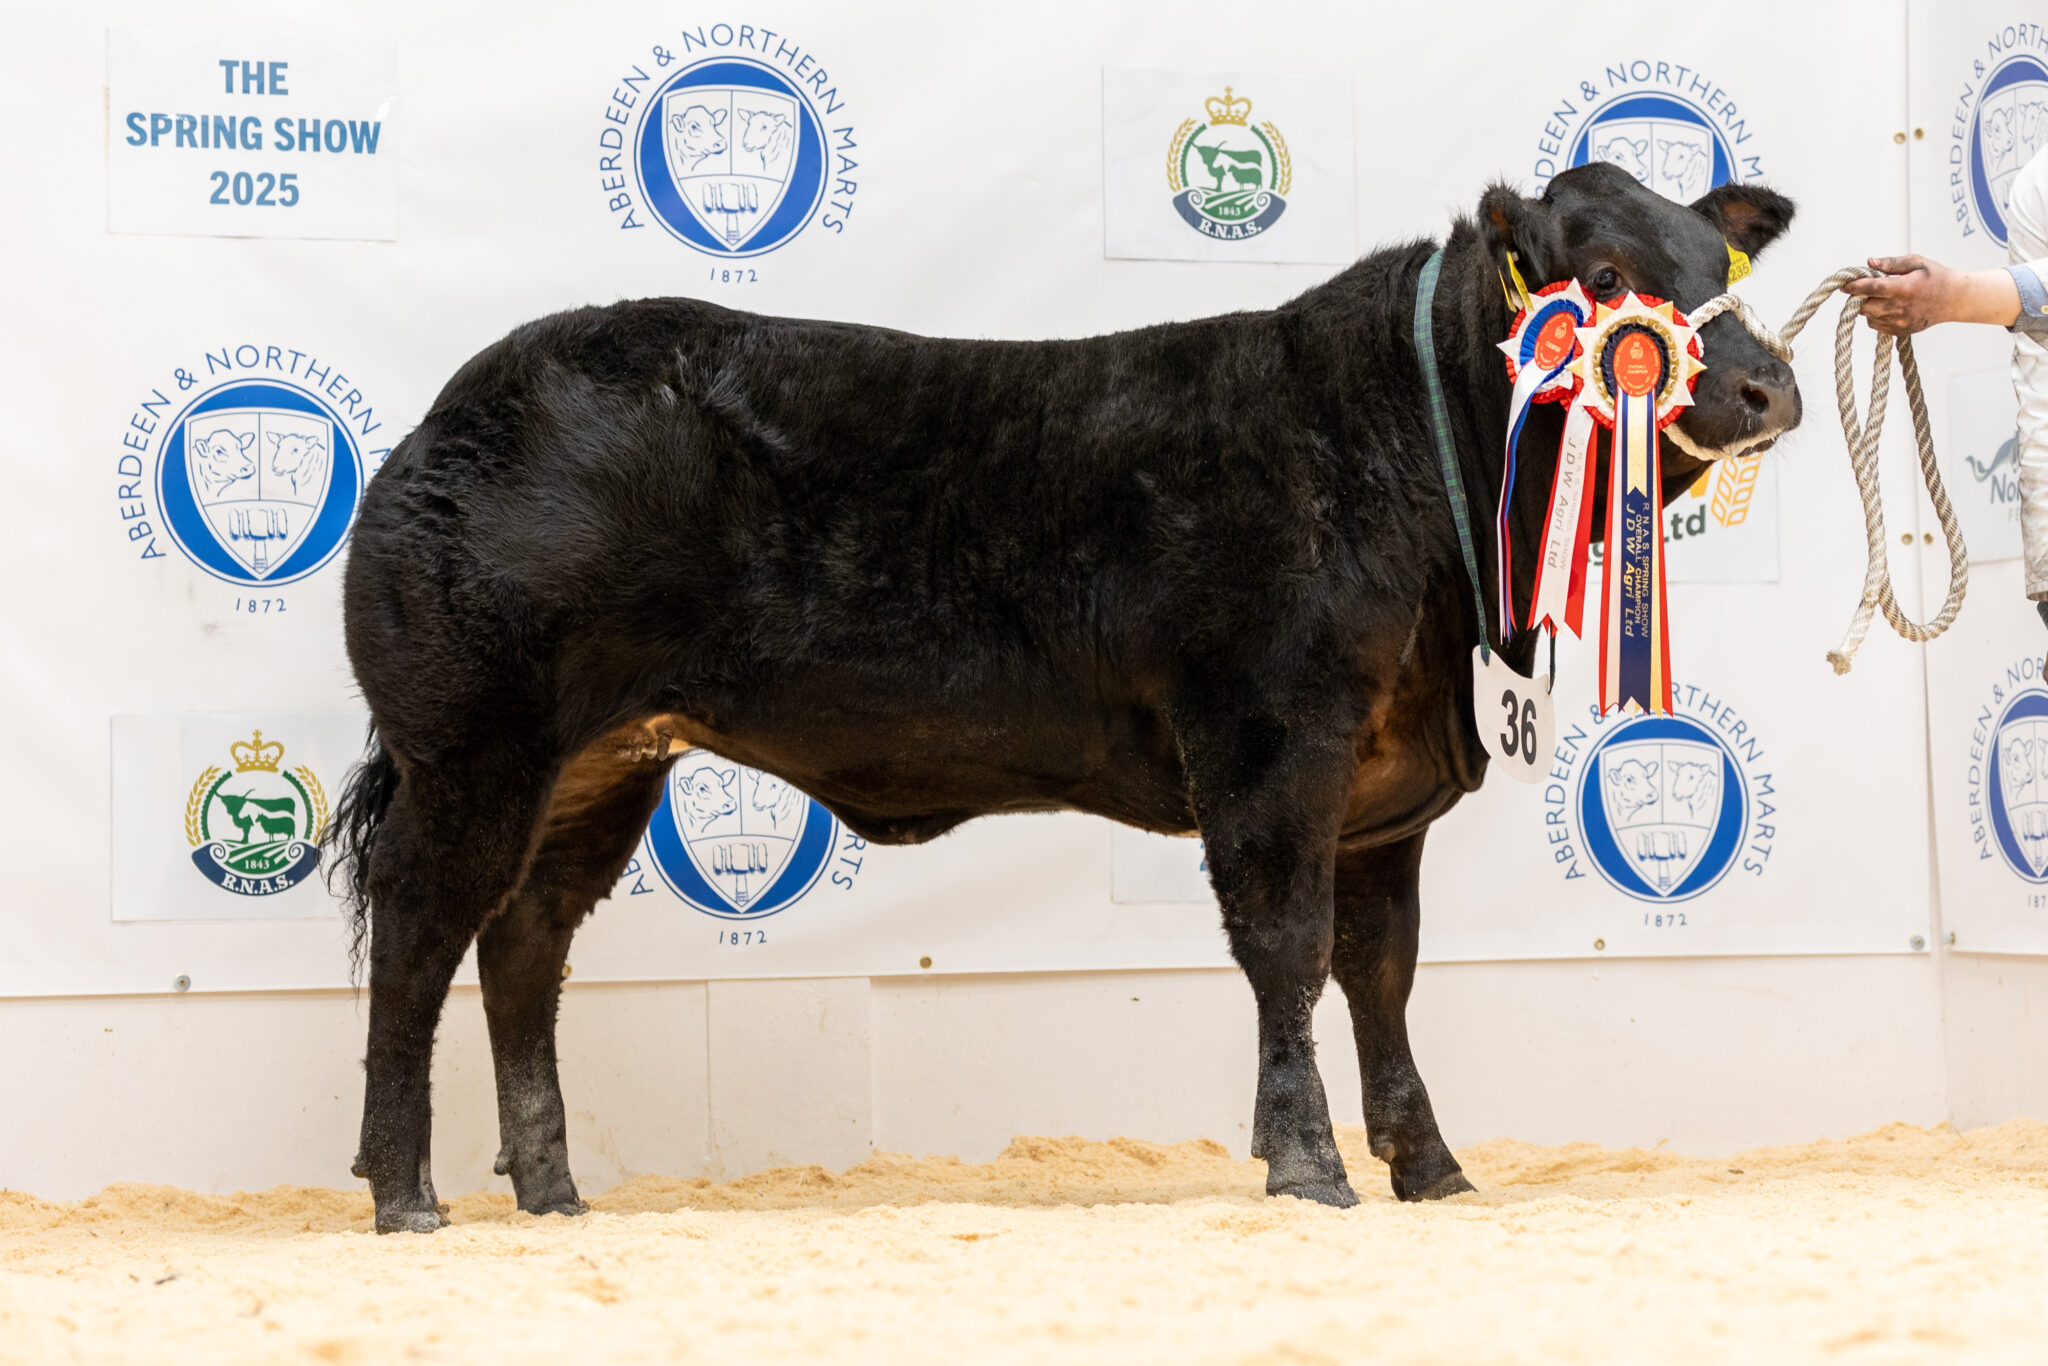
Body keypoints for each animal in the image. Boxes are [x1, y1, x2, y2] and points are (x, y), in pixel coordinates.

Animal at [328, 161, 1800, 1232]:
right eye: (1602, 278)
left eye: (1719, 267)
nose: (1765, 383)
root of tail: (470, 400)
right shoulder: (1270, 738)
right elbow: (1289, 949)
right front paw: (1308, 1165)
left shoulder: (1385, 788)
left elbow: (1382, 970)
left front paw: (1430, 1167)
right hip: (474, 742)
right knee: (419, 927)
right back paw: (406, 1193)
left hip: (603, 758)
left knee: (524, 943)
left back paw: (551, 1191)